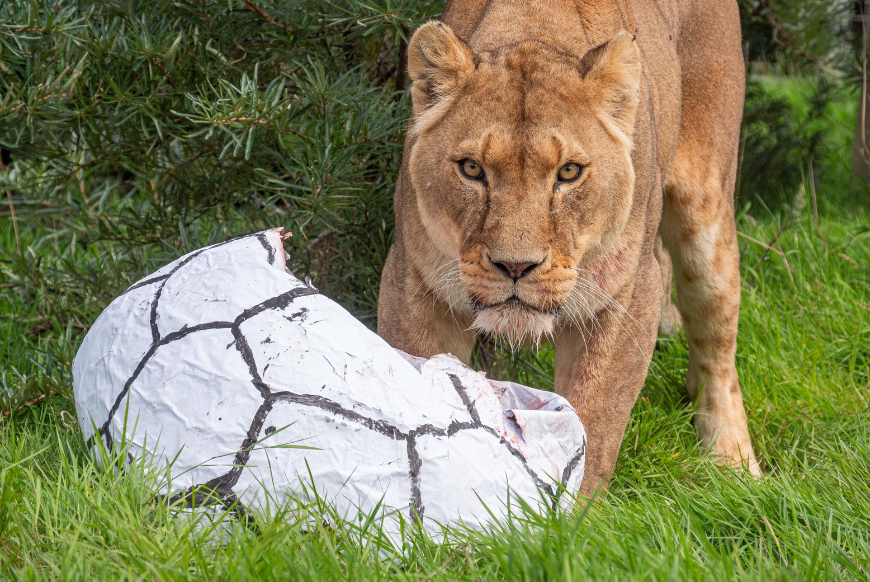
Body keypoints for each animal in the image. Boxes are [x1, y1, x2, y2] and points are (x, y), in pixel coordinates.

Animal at [378, 0, 761, 497]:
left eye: (569, 172)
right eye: (472, 169)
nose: (515, 266)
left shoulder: (626, 295)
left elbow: (594, 423)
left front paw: (568, 513)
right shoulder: (417, 283)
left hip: (706, 206)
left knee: (717, 345)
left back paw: (732, 462)